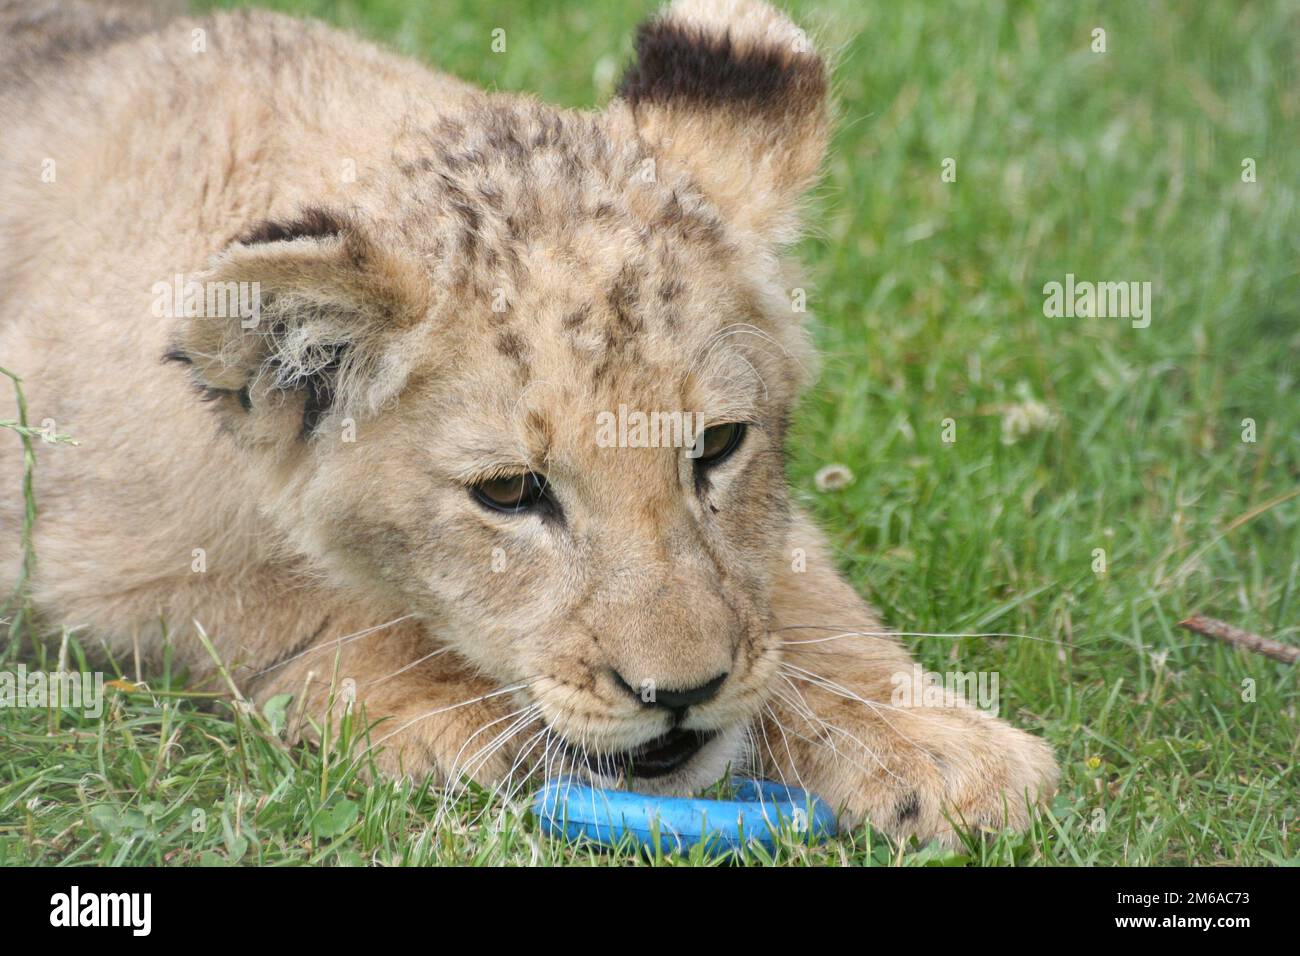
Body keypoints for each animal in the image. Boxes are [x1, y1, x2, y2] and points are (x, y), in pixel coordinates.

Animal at [0, 0, 1057, 847]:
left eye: (718, 446)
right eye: (509, 493)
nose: (680, 697)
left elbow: (797, 593)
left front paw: (931, 742)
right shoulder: (79, 555)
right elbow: (294, 602)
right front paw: (446, 710)